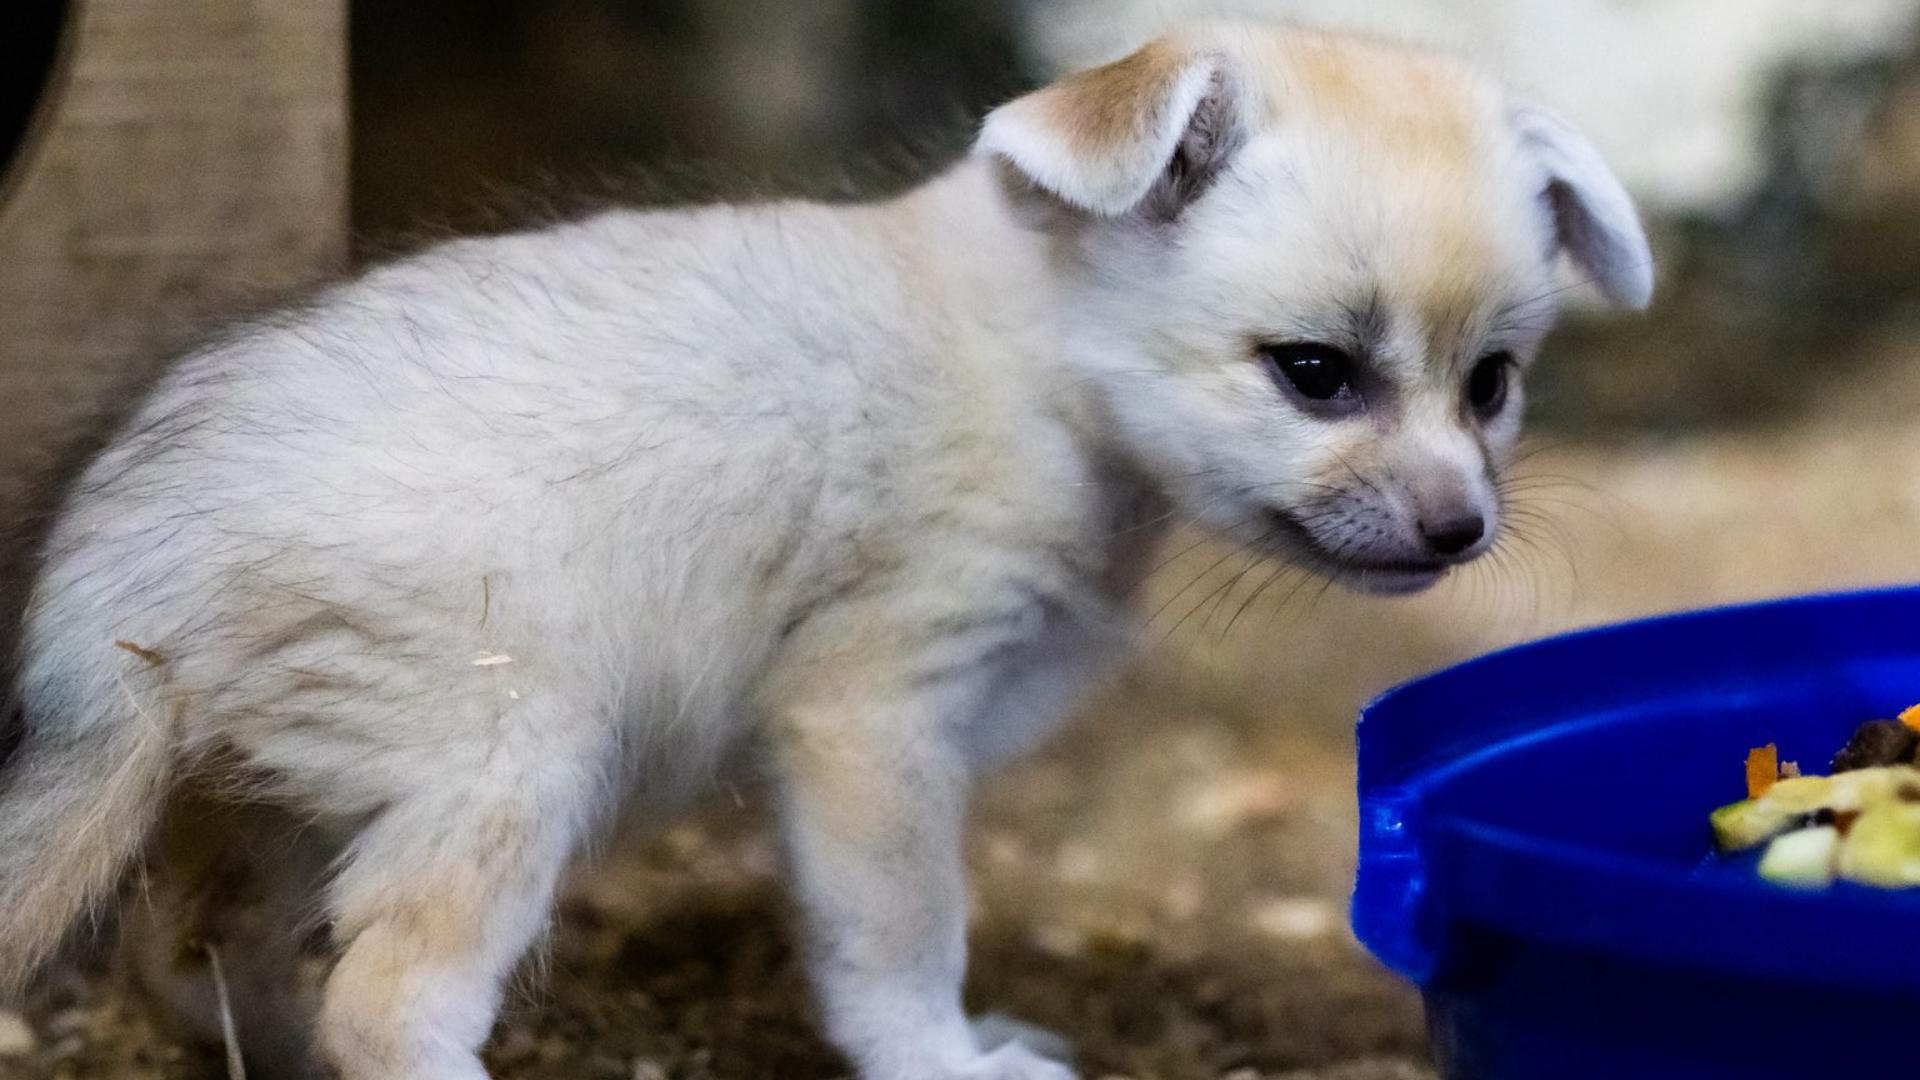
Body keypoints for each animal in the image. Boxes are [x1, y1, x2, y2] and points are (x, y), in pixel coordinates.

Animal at [0, 20, 1650, 1080]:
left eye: (1493, 386)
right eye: (1314, 374)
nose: (1461, 530)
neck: (1031, 353)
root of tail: (114, 587)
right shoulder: (872, 720)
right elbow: (904, 944)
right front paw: (950, 1063)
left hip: (295, 801)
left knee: (197, 955)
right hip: (510, 772)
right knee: (383, 1006)